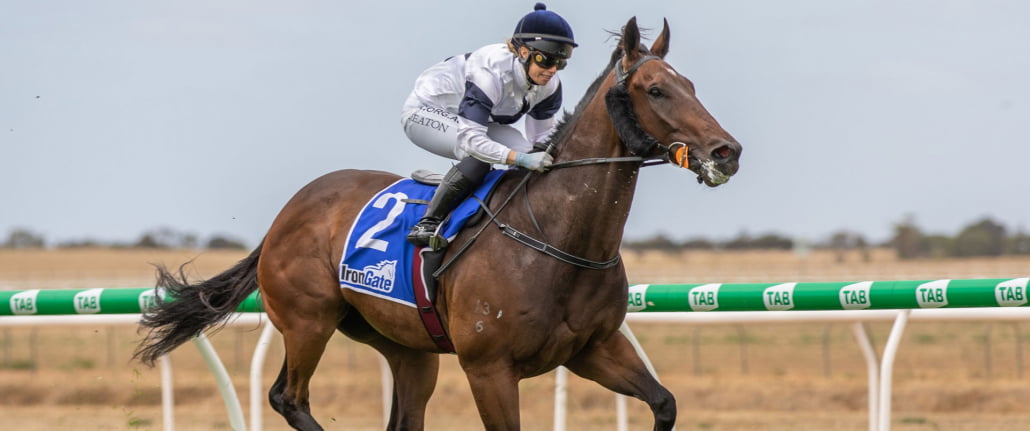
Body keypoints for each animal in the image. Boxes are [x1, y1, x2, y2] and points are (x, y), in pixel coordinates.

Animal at [134, 17, 741, 431]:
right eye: (656, 89)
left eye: (690, 85)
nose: (727, 151)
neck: (556, 239)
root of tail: (289, 212)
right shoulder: (489, 369)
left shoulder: (594, 348)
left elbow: (664, 403)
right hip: (308, 320)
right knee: (288, 396)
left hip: (409, 348)